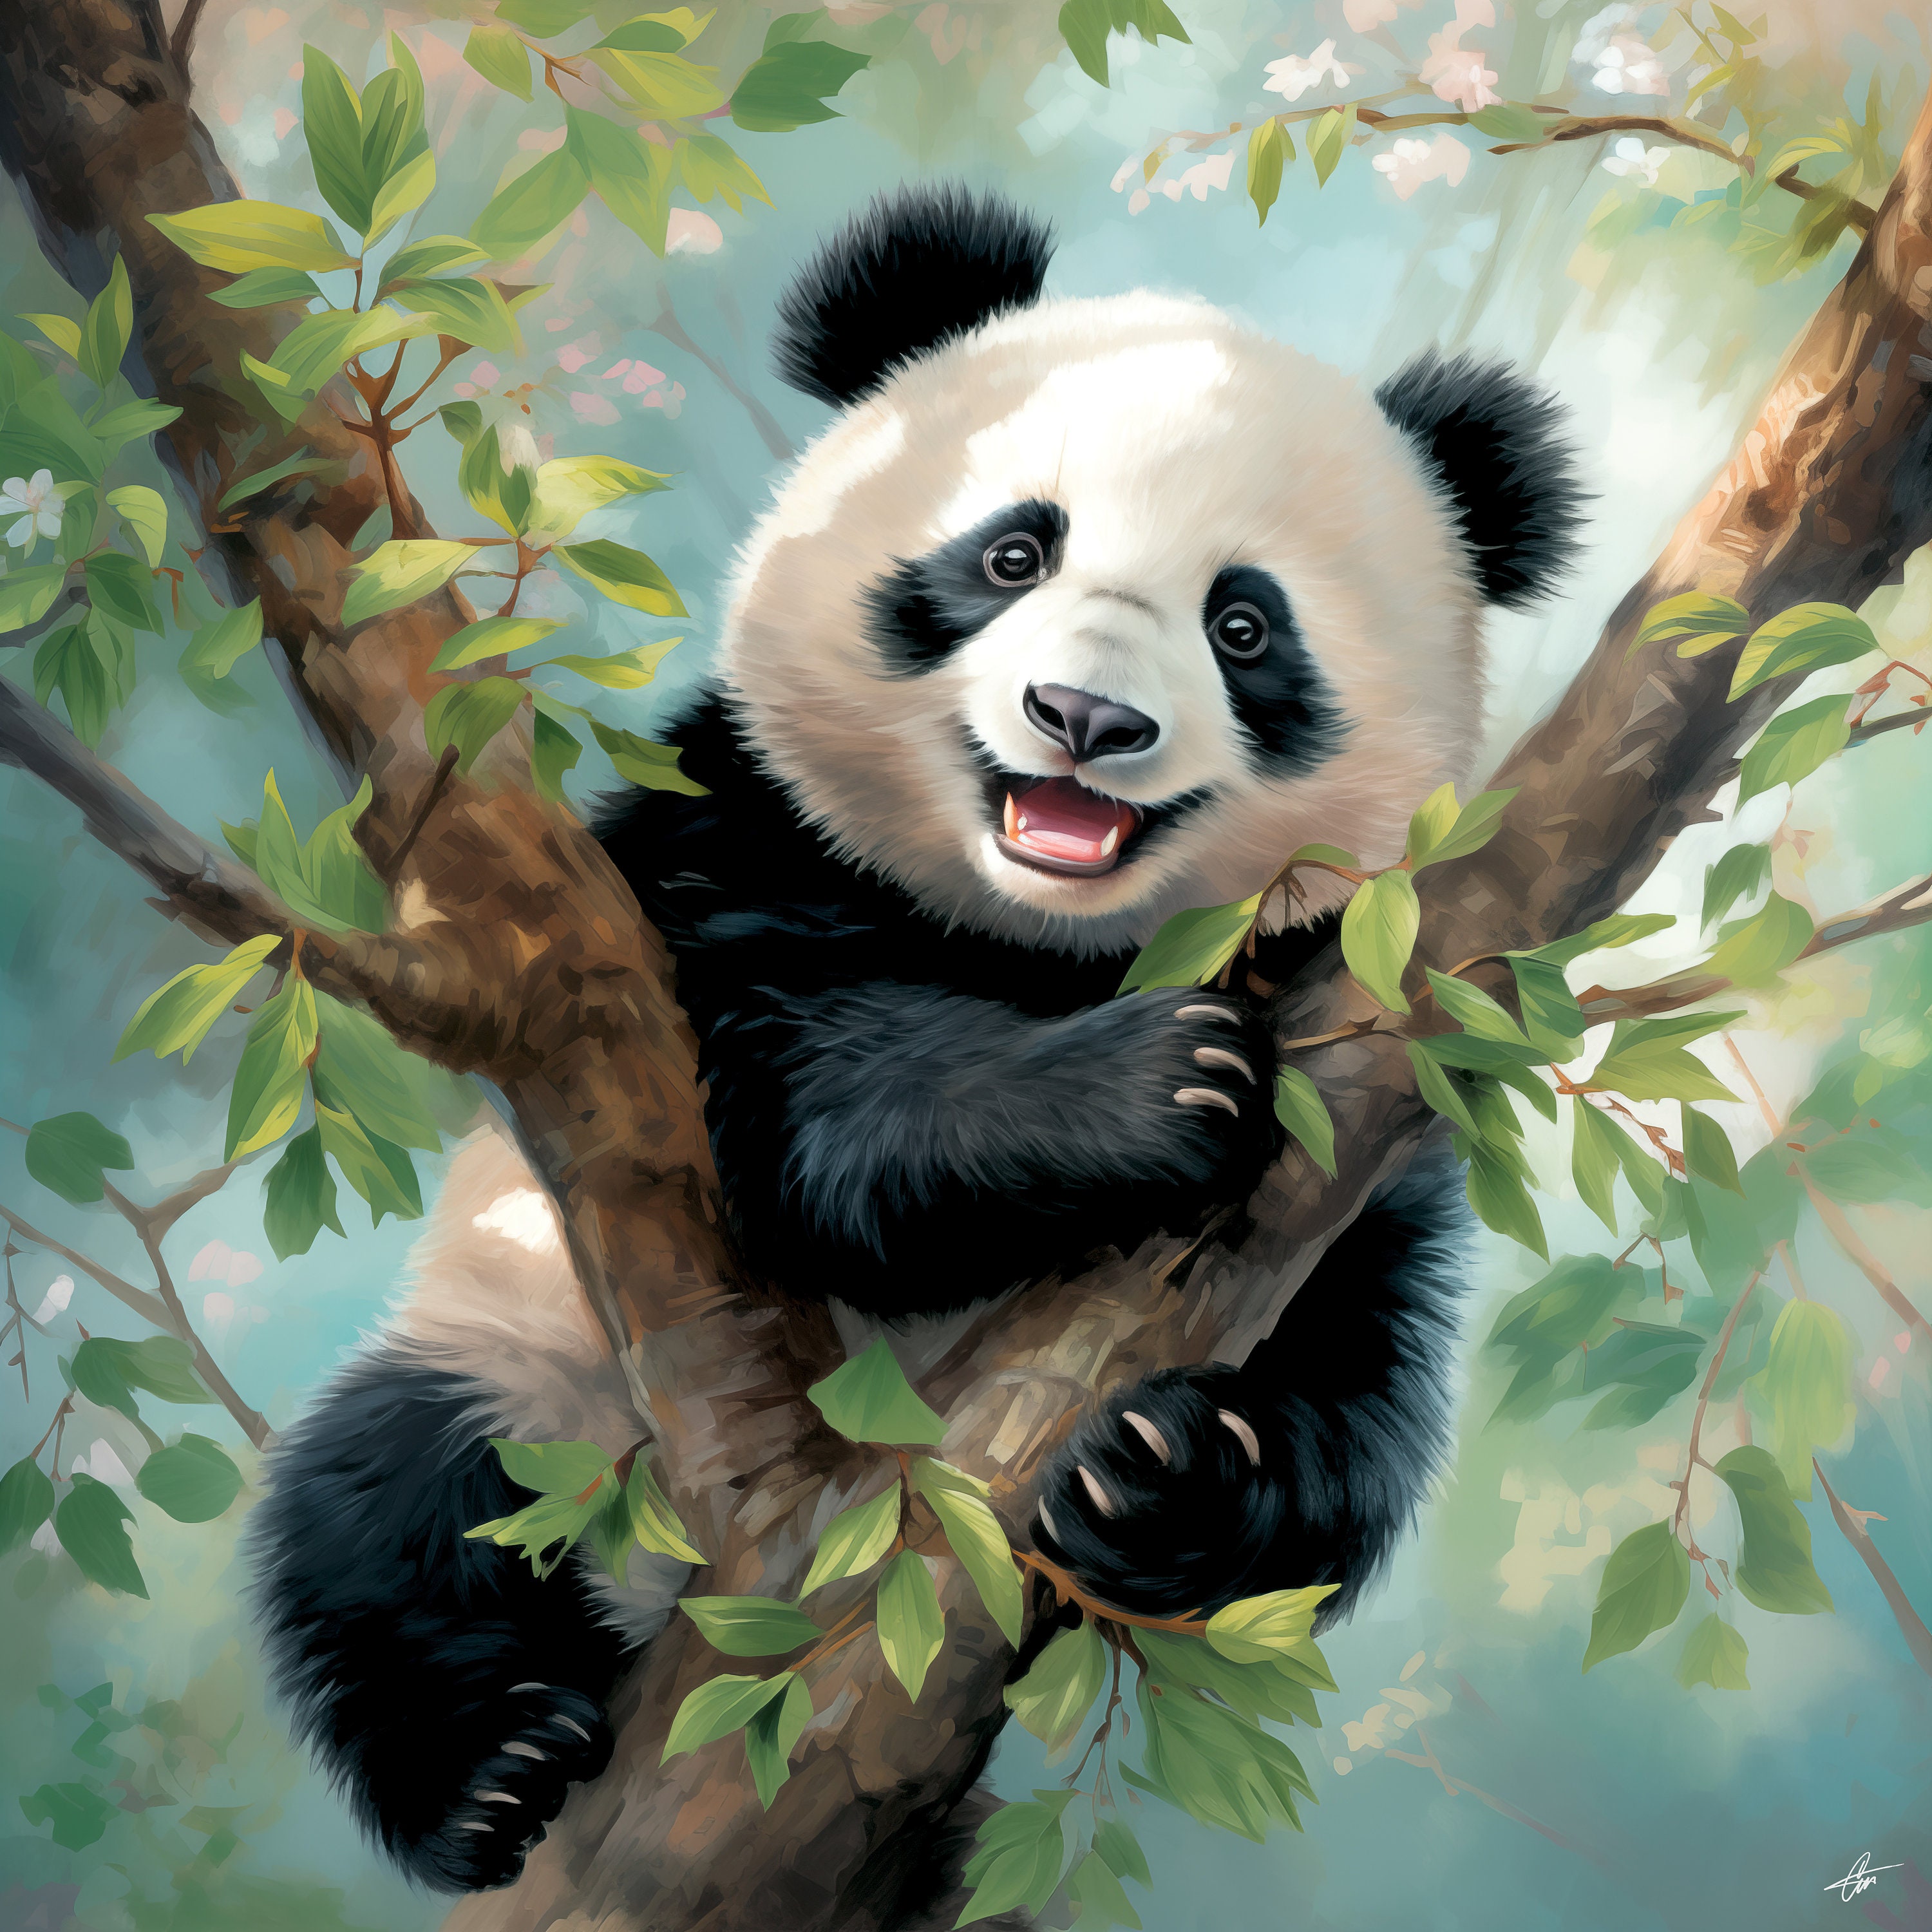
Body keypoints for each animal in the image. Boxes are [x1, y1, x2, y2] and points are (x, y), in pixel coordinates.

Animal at [250, 181, 1582, 1894]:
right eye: (1012, 549)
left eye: (1243, 624)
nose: (1086, 720)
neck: (1038, 937)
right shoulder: (726, 860)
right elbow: (804, 1116)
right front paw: (1145, 1088)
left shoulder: (1373, 1040)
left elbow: (1350, 1378)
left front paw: (1164, 1472)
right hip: (533, 1358)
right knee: (393, 1511)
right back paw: (497, 1770)